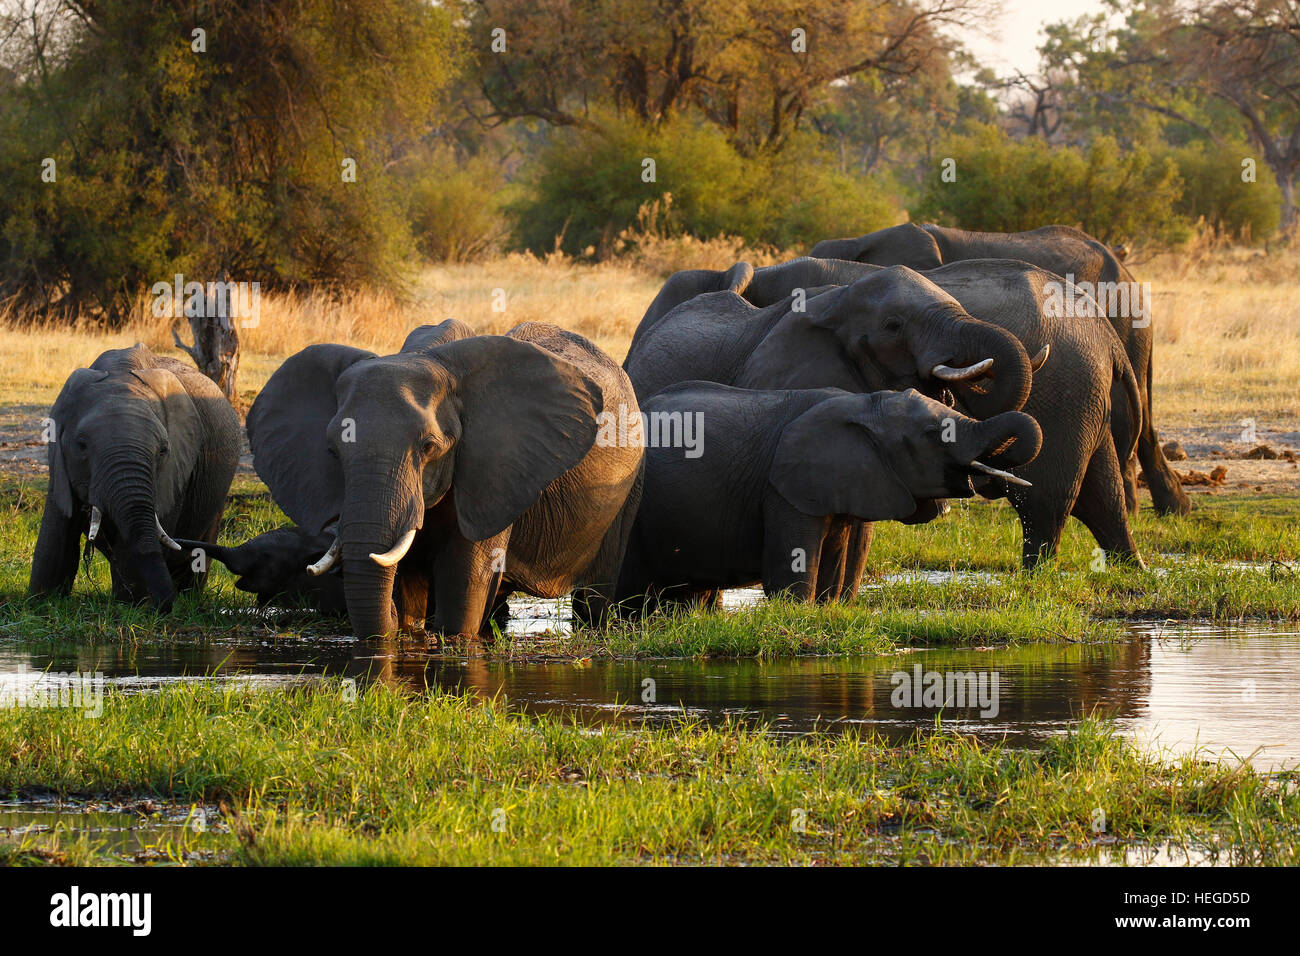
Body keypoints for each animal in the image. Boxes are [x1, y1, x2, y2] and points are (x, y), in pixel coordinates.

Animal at [29, 345, 240, 610]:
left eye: (163, 450)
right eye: (81, 445)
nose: (164, 607)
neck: (120, 373)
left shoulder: (175, 471)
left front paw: (130, 608)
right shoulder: (61, 467)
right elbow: (56, 538)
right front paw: (41, 604)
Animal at [245, 319, 644, 639]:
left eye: (428, 447)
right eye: (332, 451)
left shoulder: (493, 472)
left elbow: (463, 575)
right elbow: (409, 576)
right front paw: (408, 631)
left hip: (630, 487)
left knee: (595, 593)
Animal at [616, 384, 1041, 611]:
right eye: (933, 435)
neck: (866, 404)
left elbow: (834, 567)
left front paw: (828, 610)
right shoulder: (785, 489)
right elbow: (791, 573)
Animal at [624, 259, 1143, 573]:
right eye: (894, 327)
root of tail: (1102, 327)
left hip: (1072, 390)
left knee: (1052, 499)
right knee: (1095, 495)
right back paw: (1124, 575)